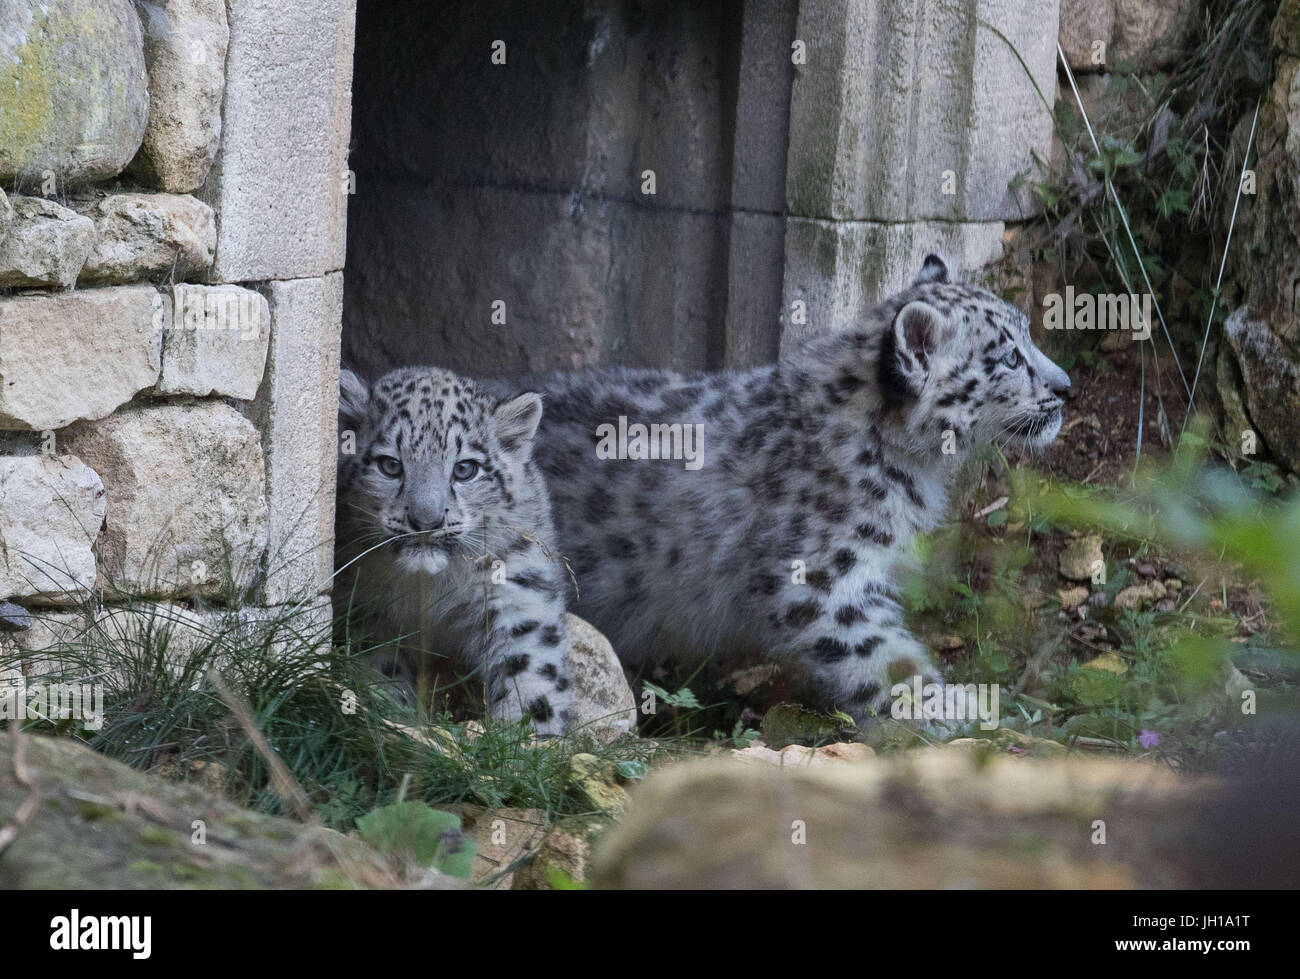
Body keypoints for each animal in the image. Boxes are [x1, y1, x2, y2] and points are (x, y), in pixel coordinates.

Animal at [334, 366, 576, 735]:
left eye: (465, 469)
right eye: (390, 465)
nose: (426, 519)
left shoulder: (518, 595)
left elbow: (533, 670)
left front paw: (530, 735)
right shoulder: (365, 609)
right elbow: (380, 668)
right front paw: (393, 713)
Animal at [523, 254, 1072, 726]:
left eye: (1028, 335)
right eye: (1009, 357)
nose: (1066, 386)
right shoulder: (824, 577)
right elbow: (882, 653)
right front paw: (947, 706)